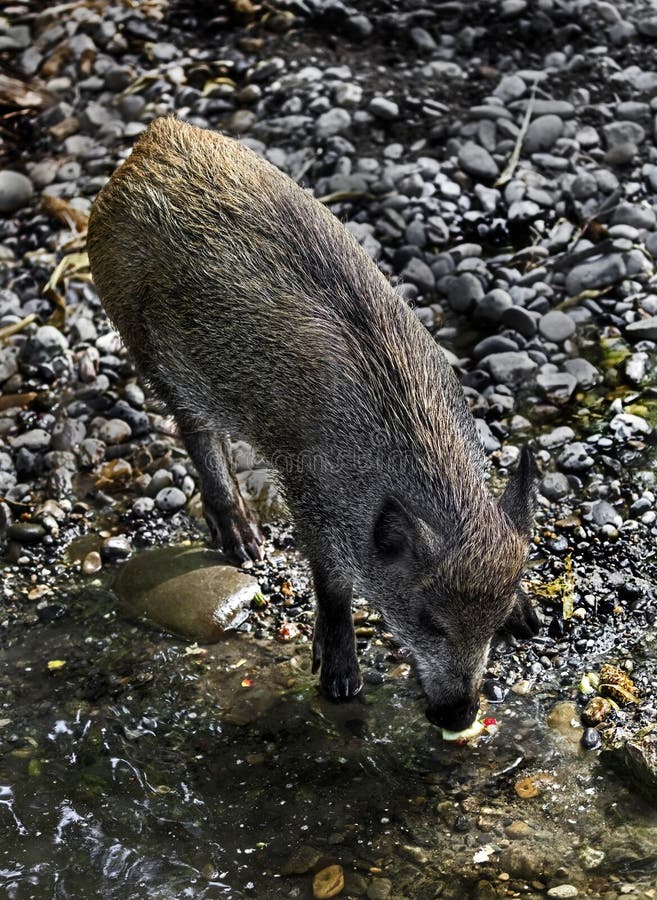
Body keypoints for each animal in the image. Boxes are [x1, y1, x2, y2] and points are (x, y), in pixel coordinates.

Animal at [87, 116, 538, 732]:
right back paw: (246, 548)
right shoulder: (309, 492)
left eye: (492, 623)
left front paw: (533, 620)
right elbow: (331, 579)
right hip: (148, 350)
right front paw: (341, 684)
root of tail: (151, 140)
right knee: (196, 433)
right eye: (429, 620)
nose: (459, 716)